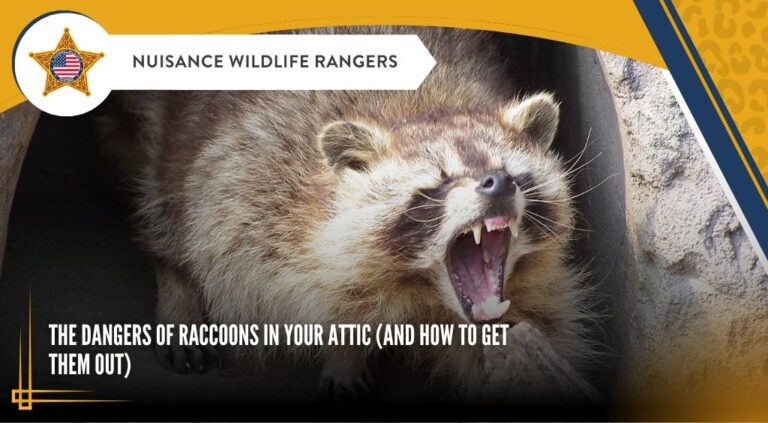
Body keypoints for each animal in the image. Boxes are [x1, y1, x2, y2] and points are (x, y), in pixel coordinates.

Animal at [98, 27, 591, 399]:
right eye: (439, 183)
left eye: (511, 173)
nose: (497, 184)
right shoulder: (253, 187)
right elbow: (271, 272)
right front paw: (345, 349)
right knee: (165, 195)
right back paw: (176, 284)